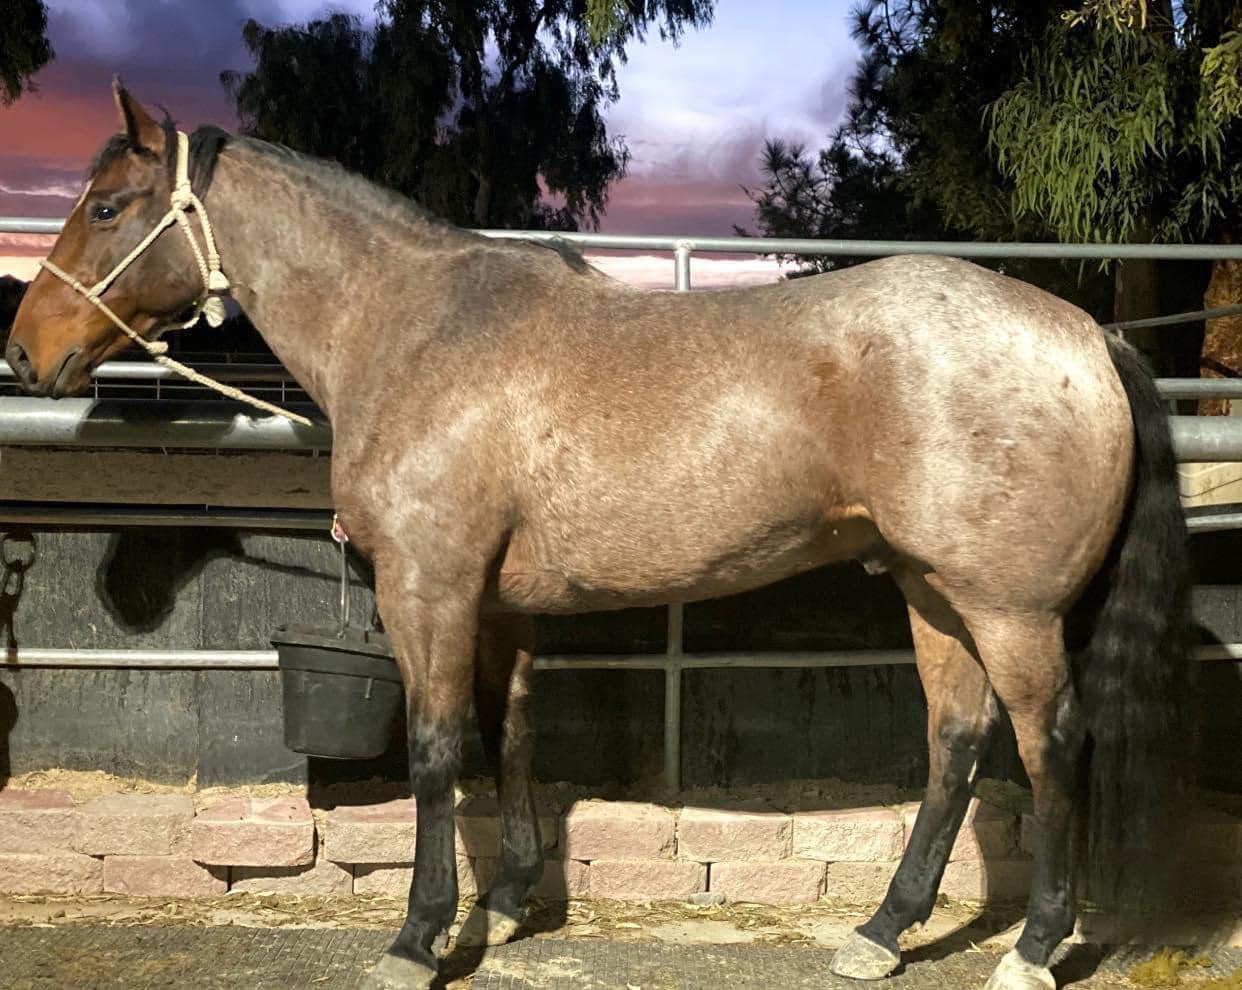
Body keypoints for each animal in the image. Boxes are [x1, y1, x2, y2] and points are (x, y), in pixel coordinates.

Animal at [8, 82, 1191, 990]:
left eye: (107, 206)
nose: (25, 352)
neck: (416, 331)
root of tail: (1088, 332)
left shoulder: (428, 589)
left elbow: (438, 753)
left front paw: (418, 938)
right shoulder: (500, 606)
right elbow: (513, 736)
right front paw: (513, 899)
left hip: (1010, 609)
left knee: (1051, 743)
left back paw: (1032, 949)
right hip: (932, 591)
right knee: (957, 745)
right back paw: (882, 932)